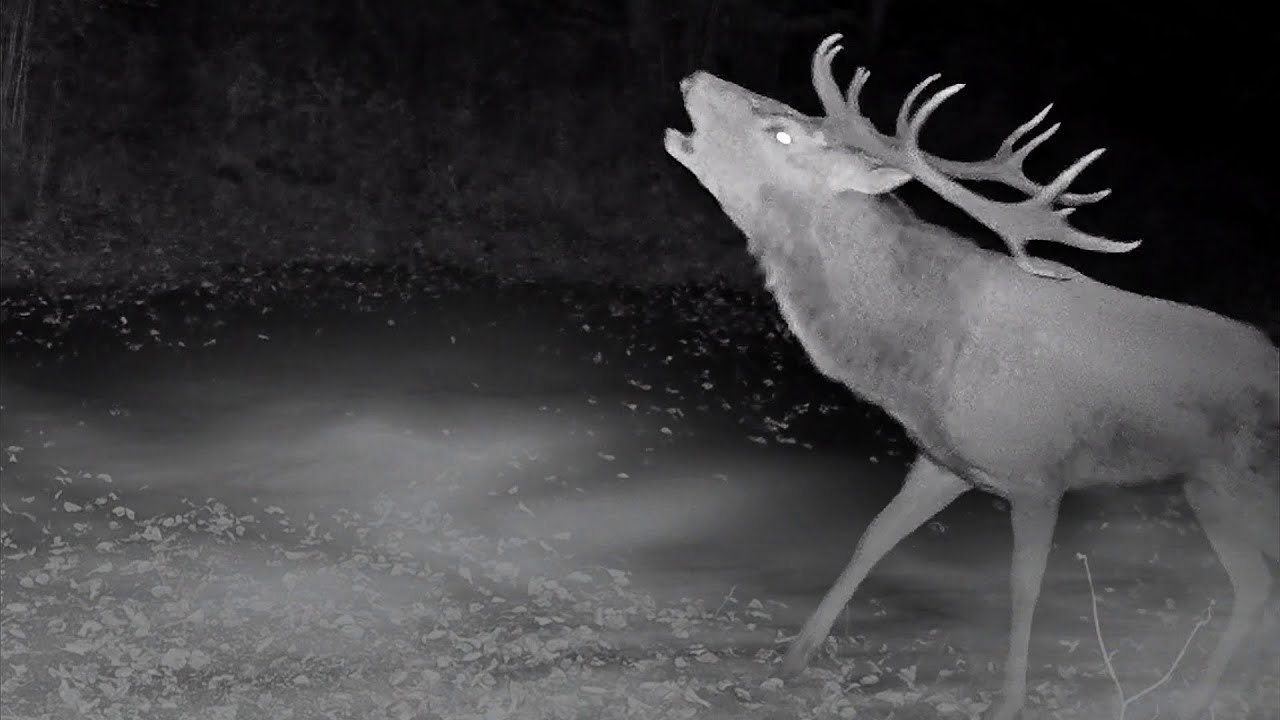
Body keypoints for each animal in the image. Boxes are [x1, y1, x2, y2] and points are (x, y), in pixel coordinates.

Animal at [664, 33, 1279, 720]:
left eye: (781, 131)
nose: (694, 77)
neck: (922, 360)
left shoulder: (1040, 473)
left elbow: (1024, 587)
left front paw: (1007, 703)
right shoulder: (944, 460)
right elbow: (873, 536)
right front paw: (793, 658)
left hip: (1245, 483)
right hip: (1207, 490)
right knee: (1256, 587)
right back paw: (1203, 696)